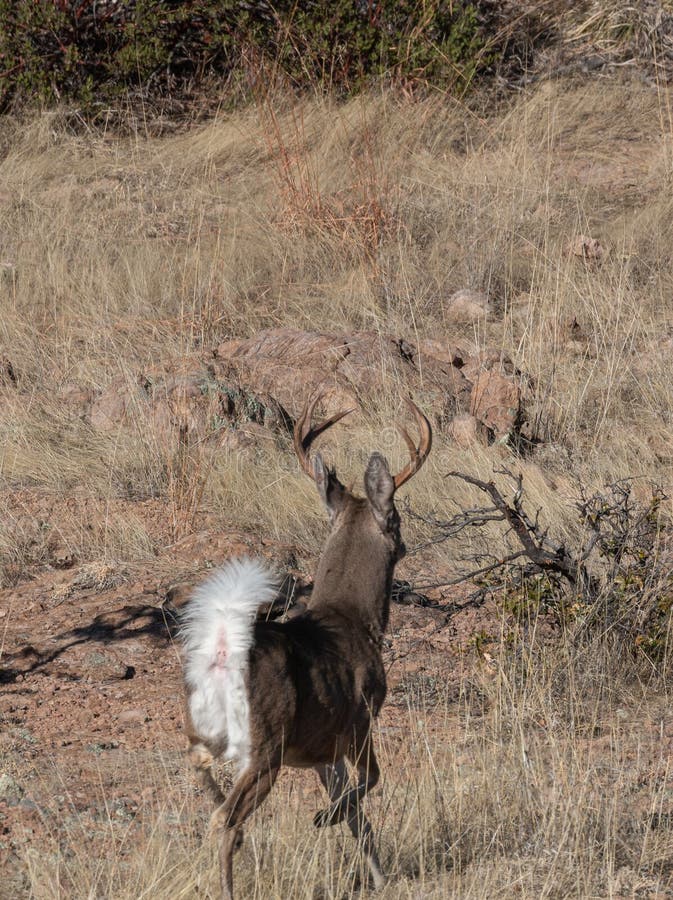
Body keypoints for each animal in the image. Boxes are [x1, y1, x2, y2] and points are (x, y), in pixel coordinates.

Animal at [181, 394, 432, 899]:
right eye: (396, 521)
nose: (405, 545)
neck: (352, 617)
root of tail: (223, 654)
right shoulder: (359, 718)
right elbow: (371, 783)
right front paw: (323, 818)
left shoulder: (321, 749)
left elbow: (359, 819)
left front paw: (378, 876)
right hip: (266, 747)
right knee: (226, 819)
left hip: (208, 731)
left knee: (198, 771)